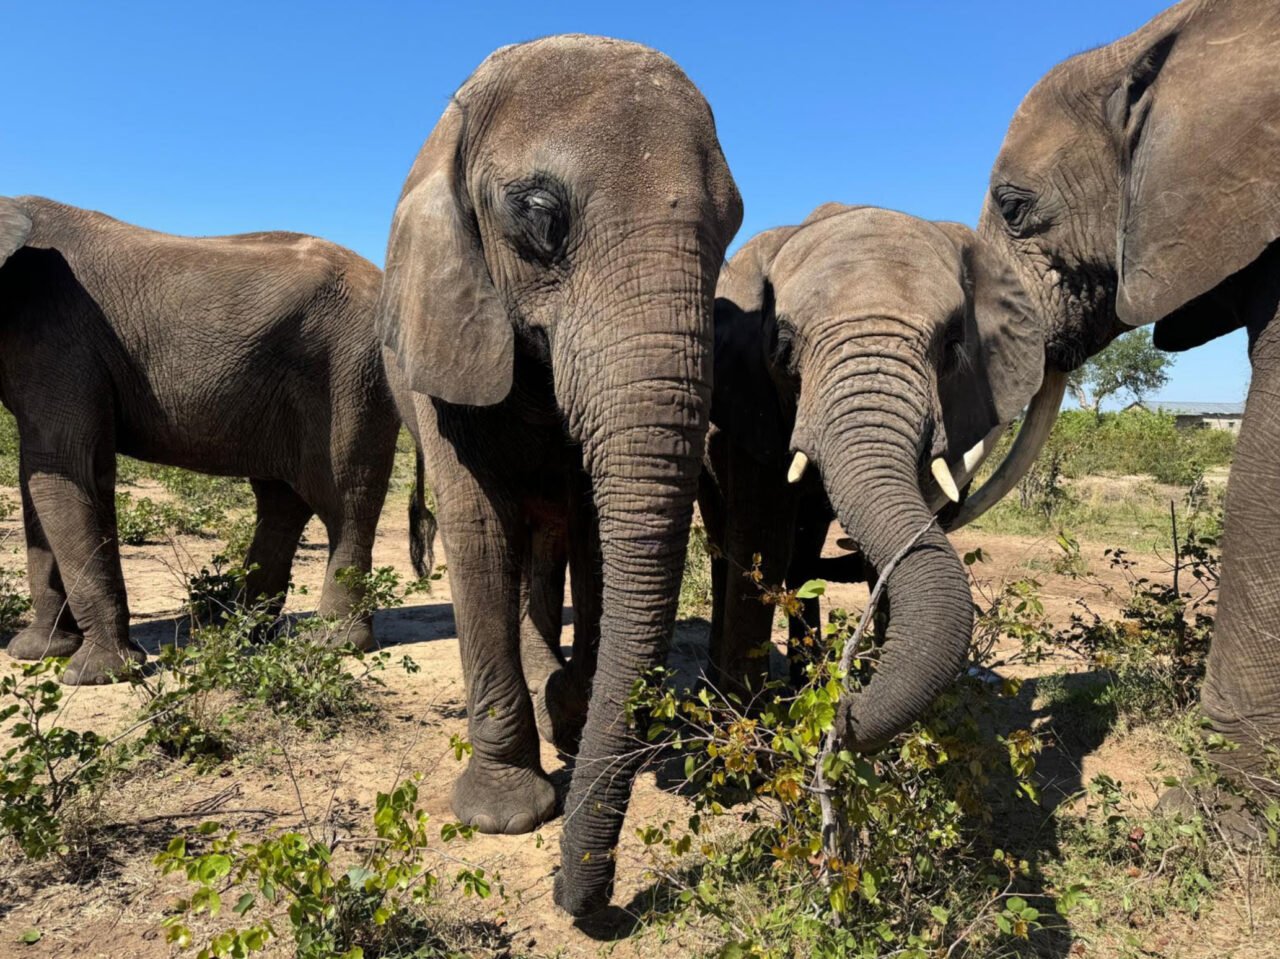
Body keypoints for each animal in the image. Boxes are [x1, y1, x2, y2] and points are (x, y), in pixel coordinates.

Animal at [0, 196, 402, 685]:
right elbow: (44, 477)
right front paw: (37, 652)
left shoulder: (59, 338)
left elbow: (64, 473)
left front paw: (94, 674)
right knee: (282, 499)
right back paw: (241, 633)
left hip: (353, 377)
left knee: (345, 502)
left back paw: (335, 644)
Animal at [377, 35, 742, 916]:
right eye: (540, 214)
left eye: (732, 227)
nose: (581, 901)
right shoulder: (446, 323)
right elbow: (476, 525)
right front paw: (506, 812)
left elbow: (599, 528)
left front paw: (575, 721)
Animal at [699, 204, 1042, 749]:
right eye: (783, 346)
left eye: (953, 346)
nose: (843, 710)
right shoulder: (750, 404)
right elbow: (762, 543)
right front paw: (744, 746)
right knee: (727, 546)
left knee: (801, 551)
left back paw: (802, 683)